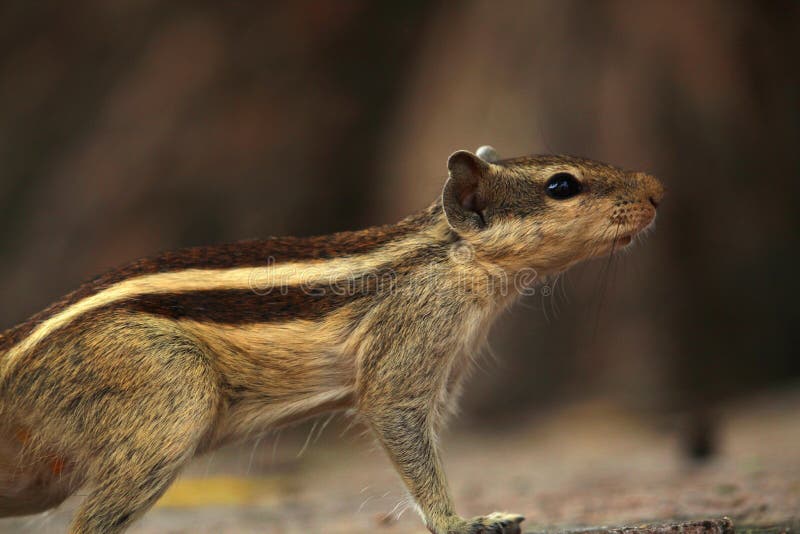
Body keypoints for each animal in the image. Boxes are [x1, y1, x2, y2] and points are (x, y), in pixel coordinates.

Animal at [0, 147, 663, 534]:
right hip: (167, 401)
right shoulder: (409, 347)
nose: (658, 189)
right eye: (562, 186)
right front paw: (461, 522)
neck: (449, 256)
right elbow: (403, 431)